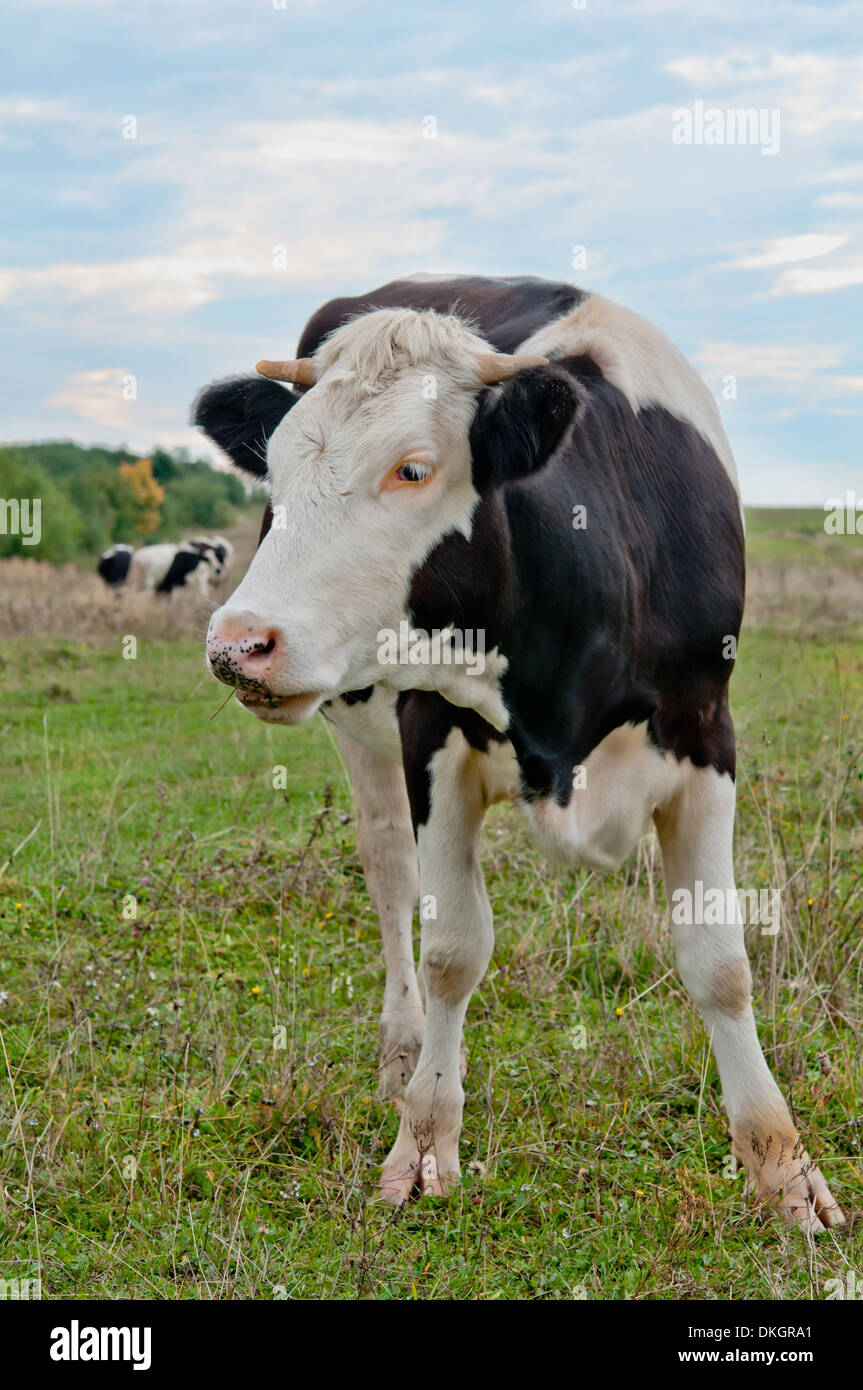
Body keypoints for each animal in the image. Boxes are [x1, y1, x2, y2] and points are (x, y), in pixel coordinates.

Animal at [193, 274, 844, 1232]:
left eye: (413, 467)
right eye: (273, 474)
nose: (240, 643)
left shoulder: (705, 733)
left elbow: (718, 962)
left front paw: (782, 1168)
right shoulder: (427, 733)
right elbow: (451, 950)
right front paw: (424, 1141)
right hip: (357, 725)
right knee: (389, 874)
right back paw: (402, 1050)